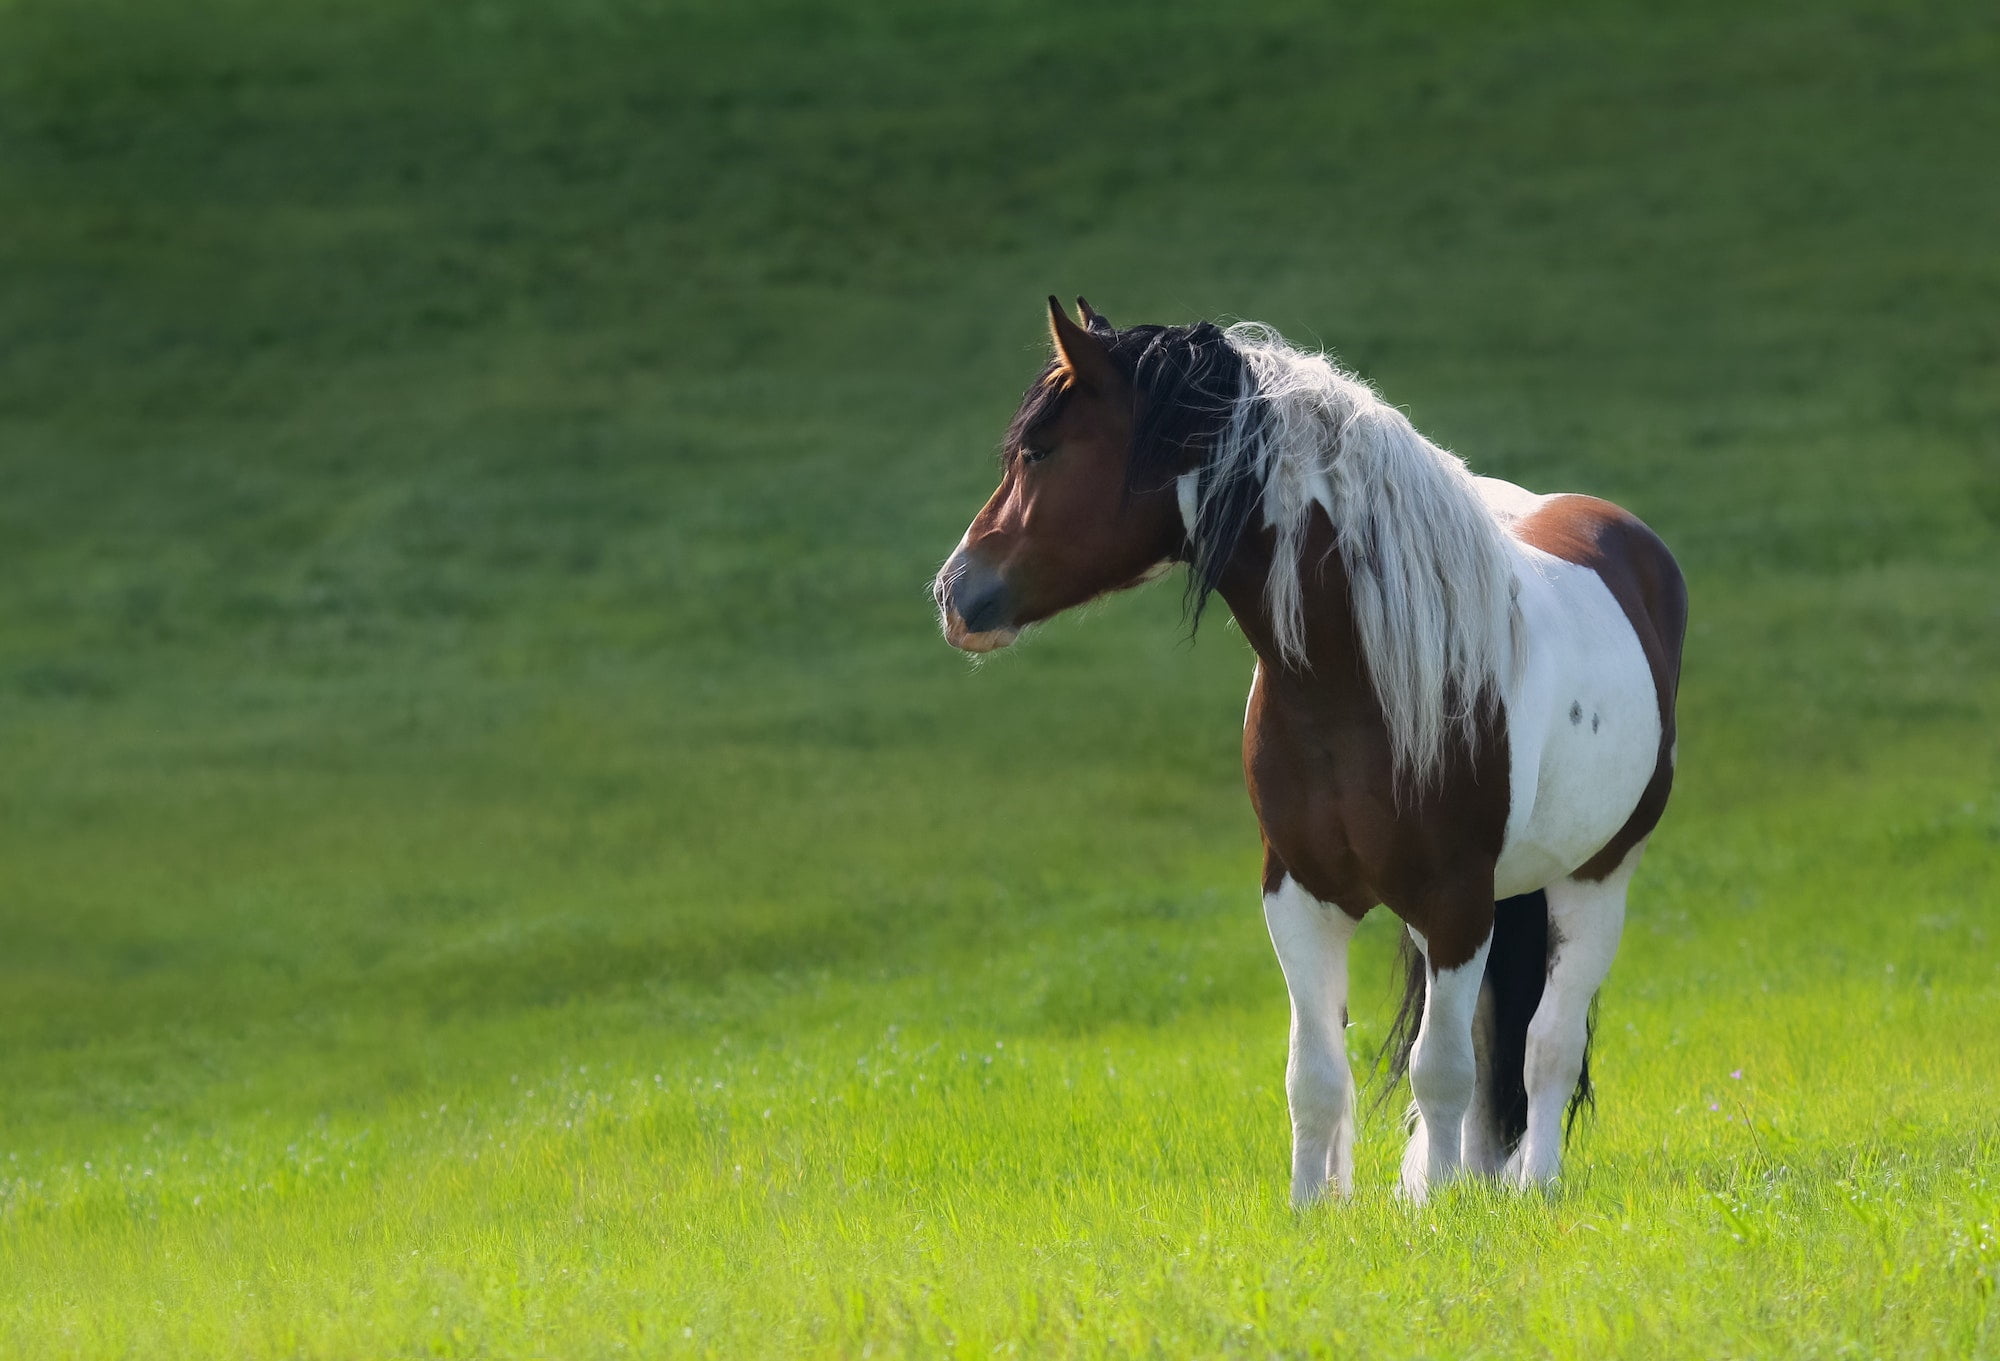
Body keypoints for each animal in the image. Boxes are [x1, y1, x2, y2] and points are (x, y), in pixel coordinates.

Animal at [933, 298, 1686, 1204]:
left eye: (1039, 451)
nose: (952, 591)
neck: (1350, 678)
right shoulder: (1300, 893)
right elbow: (1316, 1074)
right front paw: (1316, 1210)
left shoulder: (1455, 901)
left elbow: (1442, 1068)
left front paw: (1433, 1212)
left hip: (1594, 880)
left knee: (1547, 1042)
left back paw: (1529, 1185)